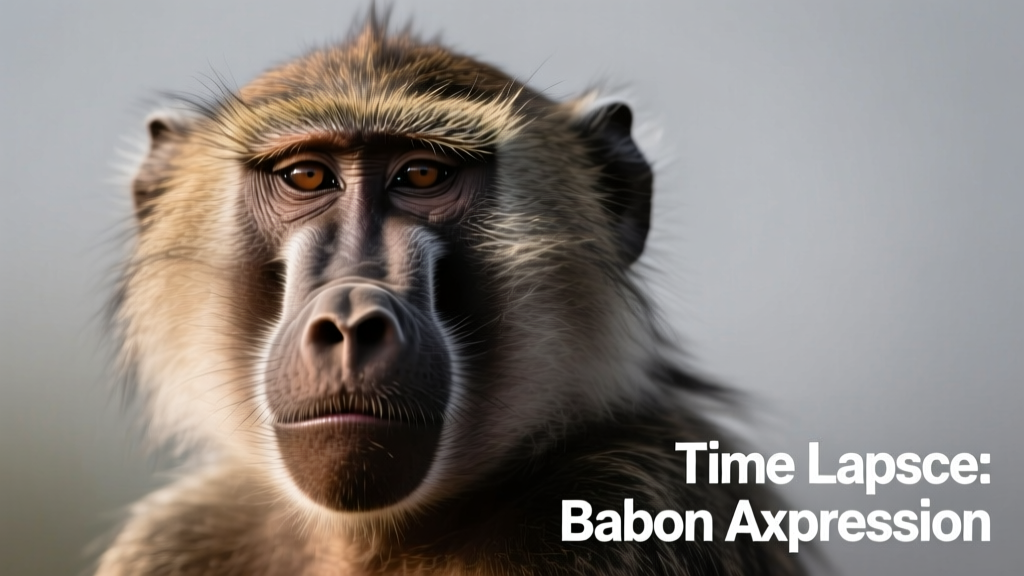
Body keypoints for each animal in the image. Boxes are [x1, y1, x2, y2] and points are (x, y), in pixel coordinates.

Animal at [98, 15, 808, 576]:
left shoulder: (638, 501)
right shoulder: (180, 534)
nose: (351, 317)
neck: (370, 540)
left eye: (421, 175)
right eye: (306, 176)